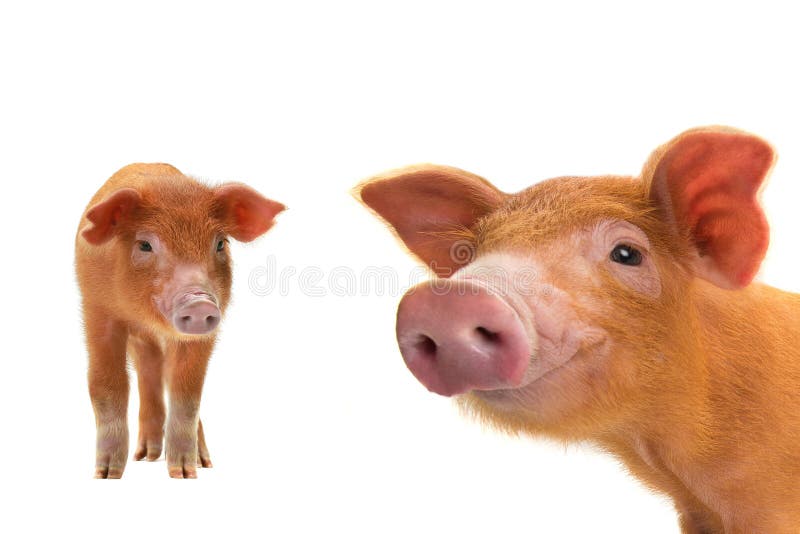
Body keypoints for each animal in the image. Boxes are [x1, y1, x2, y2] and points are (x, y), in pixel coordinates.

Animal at [75, 163, 284, 479]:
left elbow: (187, 393)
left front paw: (184, 474)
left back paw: (198, 461)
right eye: (145, 245)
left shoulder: (201, 334)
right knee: (148, 373)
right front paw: (106, 474)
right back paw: (145, 457)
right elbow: (106, 386)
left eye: (220, 243)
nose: (199, 301)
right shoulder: (98, 310)